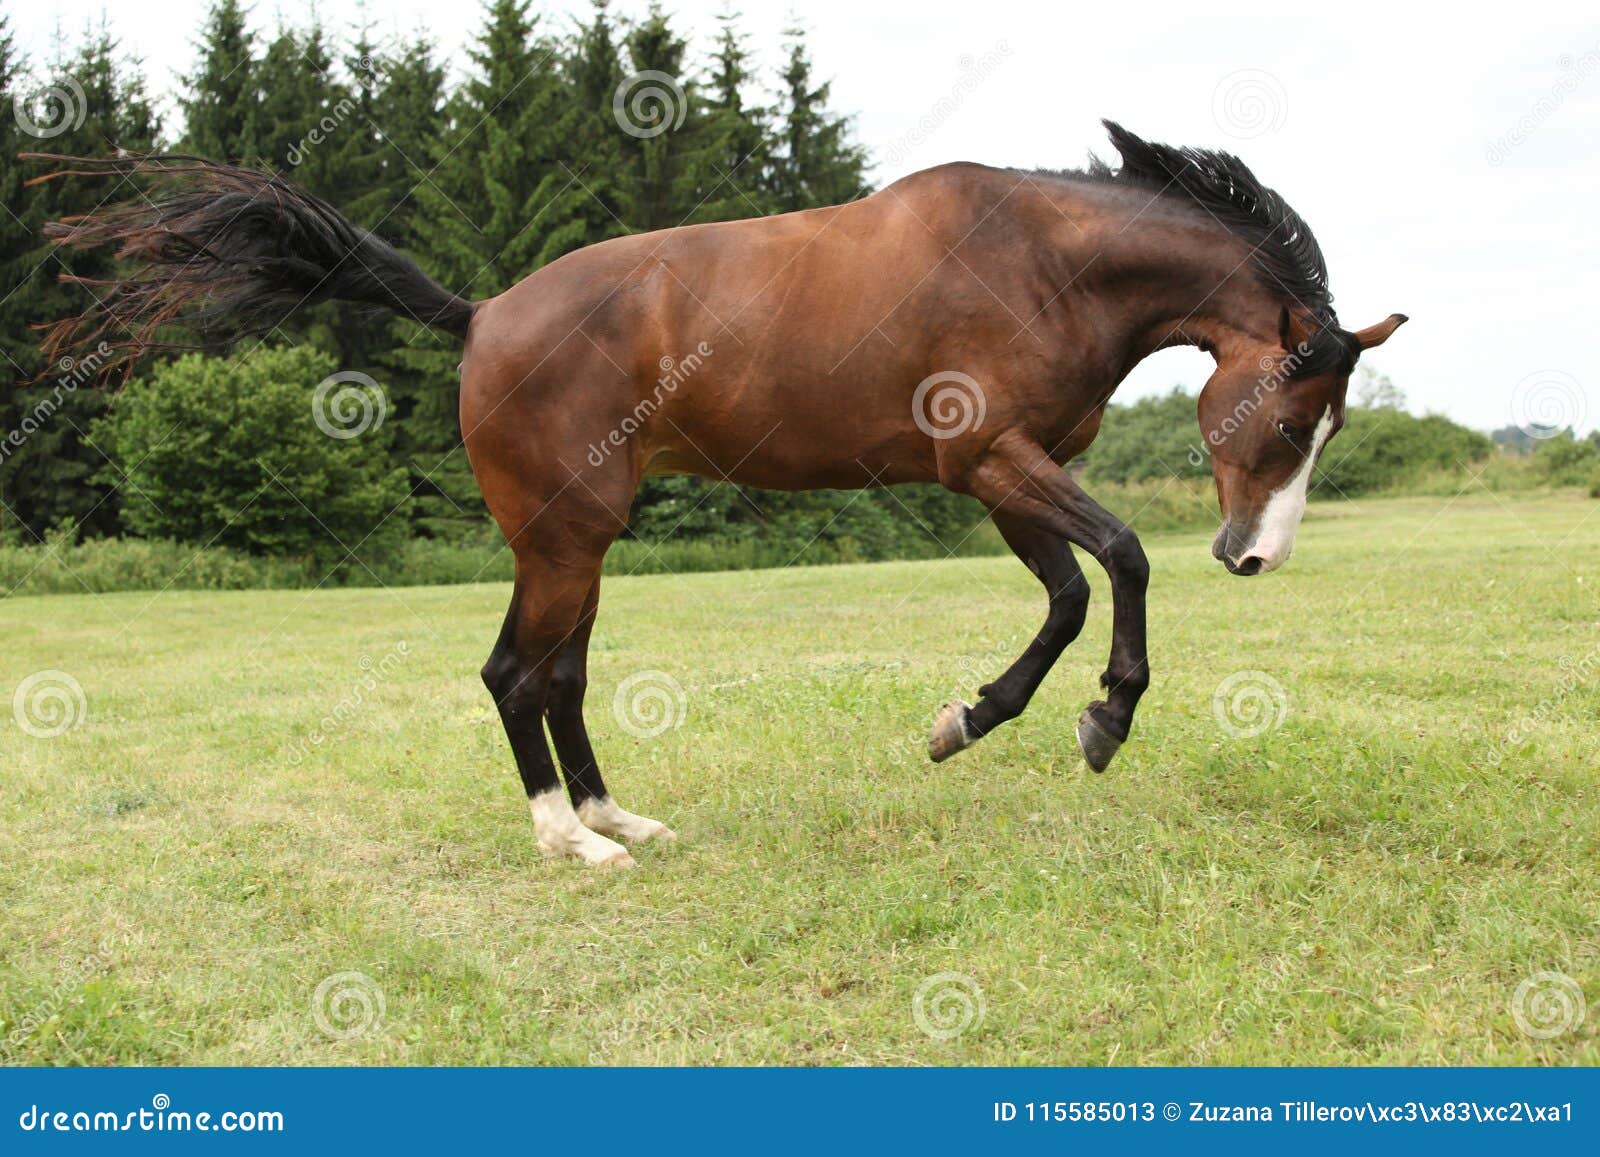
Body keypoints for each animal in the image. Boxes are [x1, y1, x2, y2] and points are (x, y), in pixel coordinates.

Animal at [29, 121, 1406, 868]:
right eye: (1293, 419)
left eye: (1330, 428)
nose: (1254, 557)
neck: (1040, 260)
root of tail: (479, 315)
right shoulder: (994, 461)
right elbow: (1119, 557)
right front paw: (1104, 719)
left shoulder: (998, 475)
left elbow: (1067, 594)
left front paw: (969, 717)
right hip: (561, 537)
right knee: (513, 674)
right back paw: (570, 839)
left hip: (583, 541)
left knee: (559, 678)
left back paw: (620, 817)